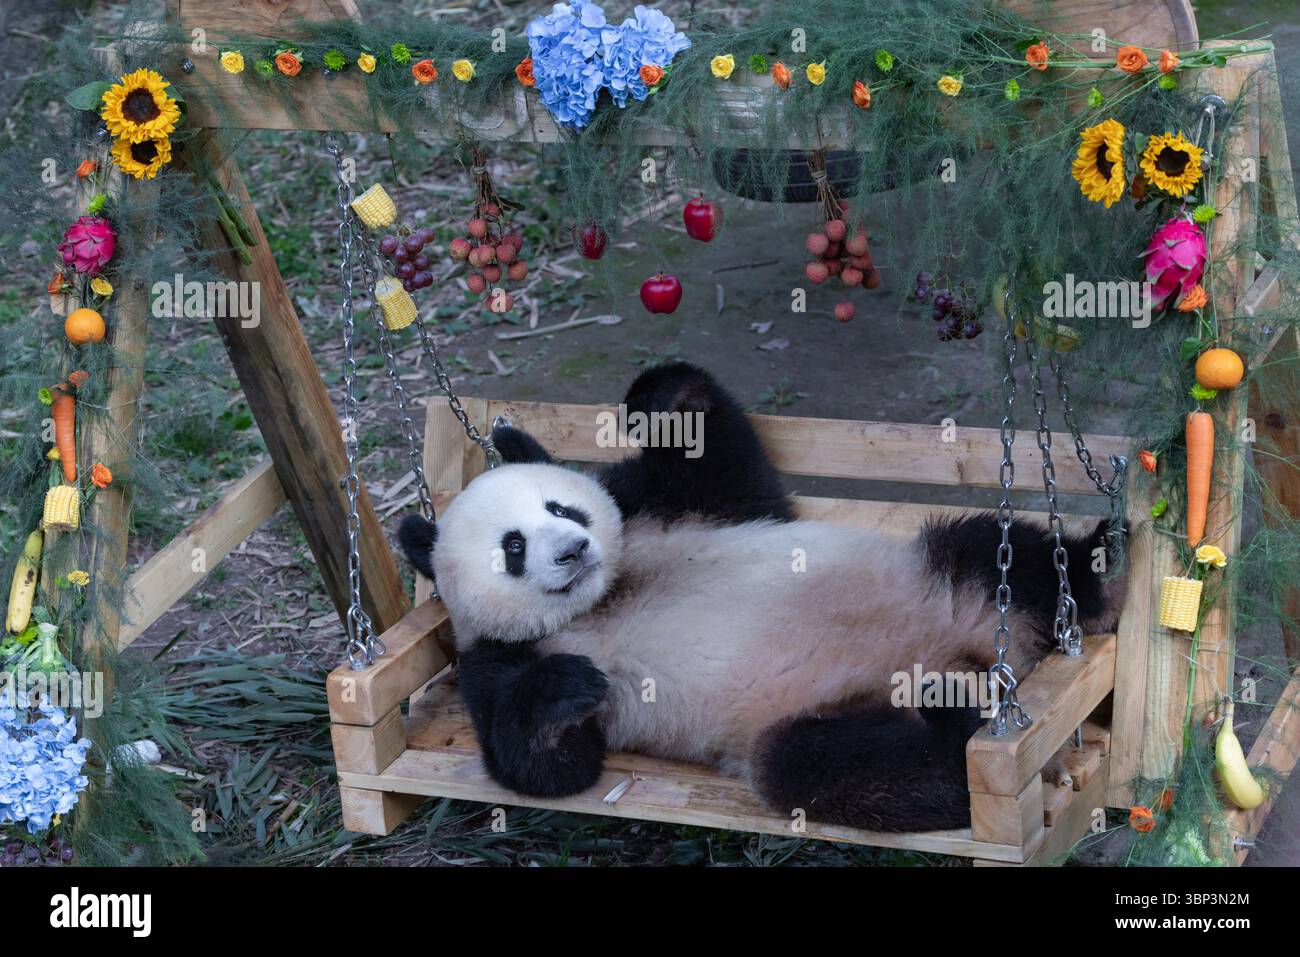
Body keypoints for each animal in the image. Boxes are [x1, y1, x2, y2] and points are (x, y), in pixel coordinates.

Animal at [398, 362, 1126, 832]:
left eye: (562, 507)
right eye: (513, 546)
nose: (574, 551)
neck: (599, 599)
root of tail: (990, 663)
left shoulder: (662, 510)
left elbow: (728, 468)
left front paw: (655, 399)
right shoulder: (497, 657)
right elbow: (544, 763)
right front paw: (570, 686)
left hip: (938, 579)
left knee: (991, 552)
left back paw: (1101, 563)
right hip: (812, 716)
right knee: (832, 769)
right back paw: (953, 726)